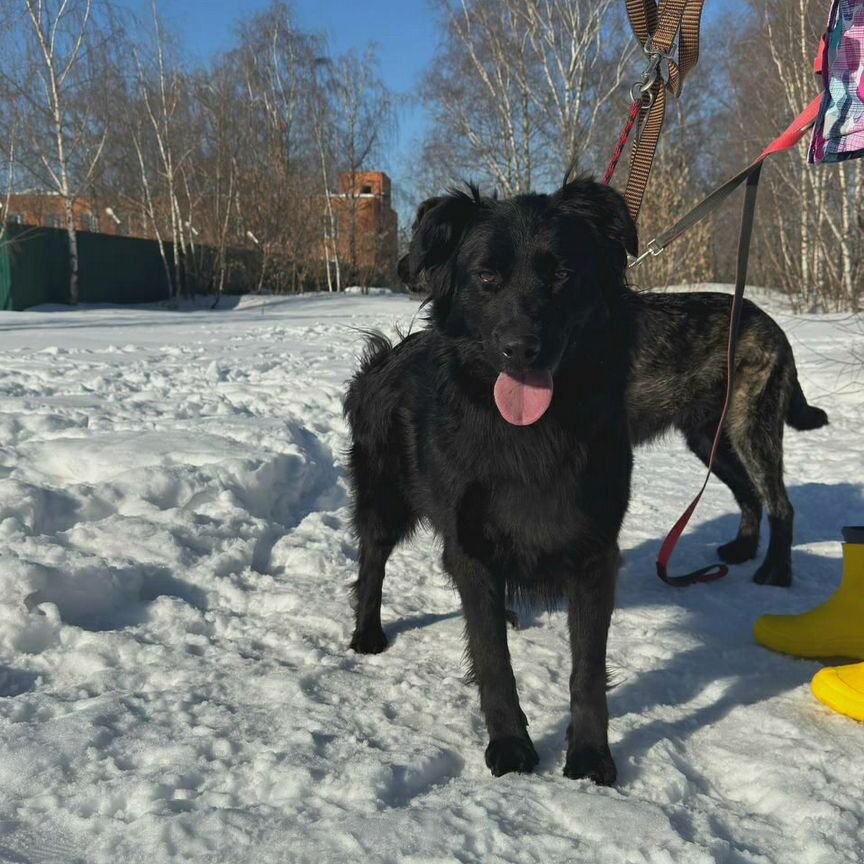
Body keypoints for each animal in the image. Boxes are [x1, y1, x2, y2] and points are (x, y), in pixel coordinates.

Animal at [344, 179, 636, 788]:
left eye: (562, 273)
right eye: (485, 276)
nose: (520, 349)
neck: (529, 433)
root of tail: (384, 355)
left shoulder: (596, 552)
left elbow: (588, 670)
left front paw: (591, 755)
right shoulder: (469, 545)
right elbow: (492, 660)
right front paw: (510, 746)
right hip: (383, 499)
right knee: (371, 562)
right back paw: (367, 633)